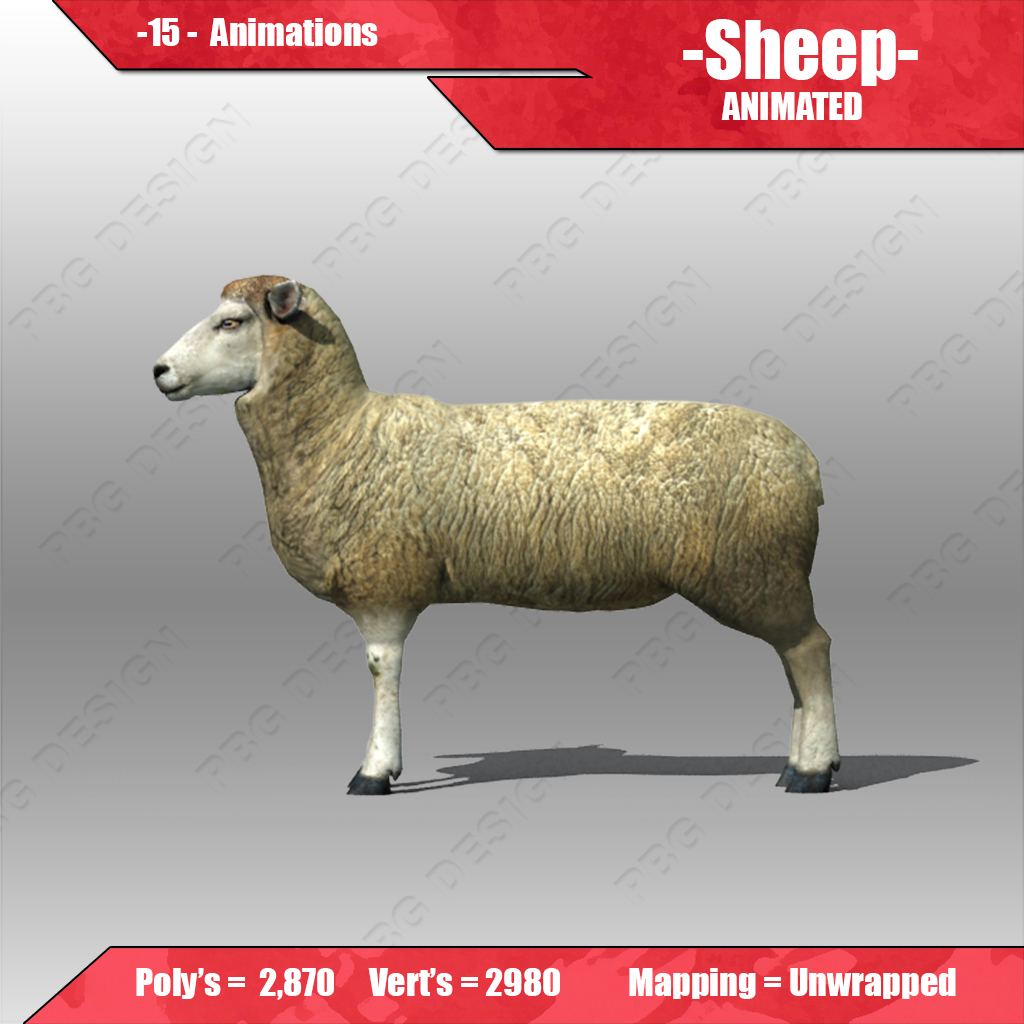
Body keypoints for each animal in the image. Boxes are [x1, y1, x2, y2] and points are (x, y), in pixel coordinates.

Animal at [154, 275, 840, 795]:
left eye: (231, 322)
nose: (158, 370)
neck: (343, 431)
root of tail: (805, 459)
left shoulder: (384, 583)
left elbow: (380, 670)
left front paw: (375, 771)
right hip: (762, 573)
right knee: (795, 663)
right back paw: (799, 763)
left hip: (753, 567)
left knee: (811, 650)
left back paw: (813, 771)